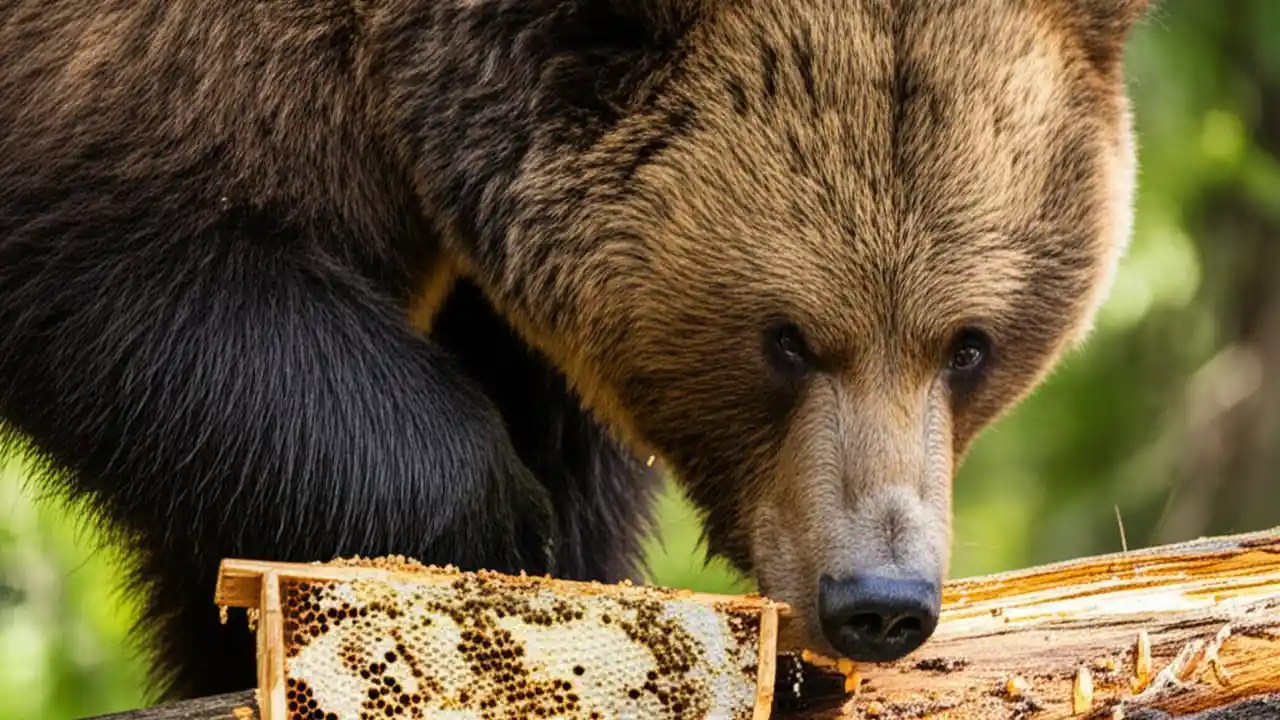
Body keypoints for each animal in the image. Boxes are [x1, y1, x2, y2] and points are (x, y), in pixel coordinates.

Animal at [0, 0, 1150, 703]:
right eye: (785, 340)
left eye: (967, 345)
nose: (878, 601)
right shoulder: (149, 96)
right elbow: (148, 276)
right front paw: (503, 549)